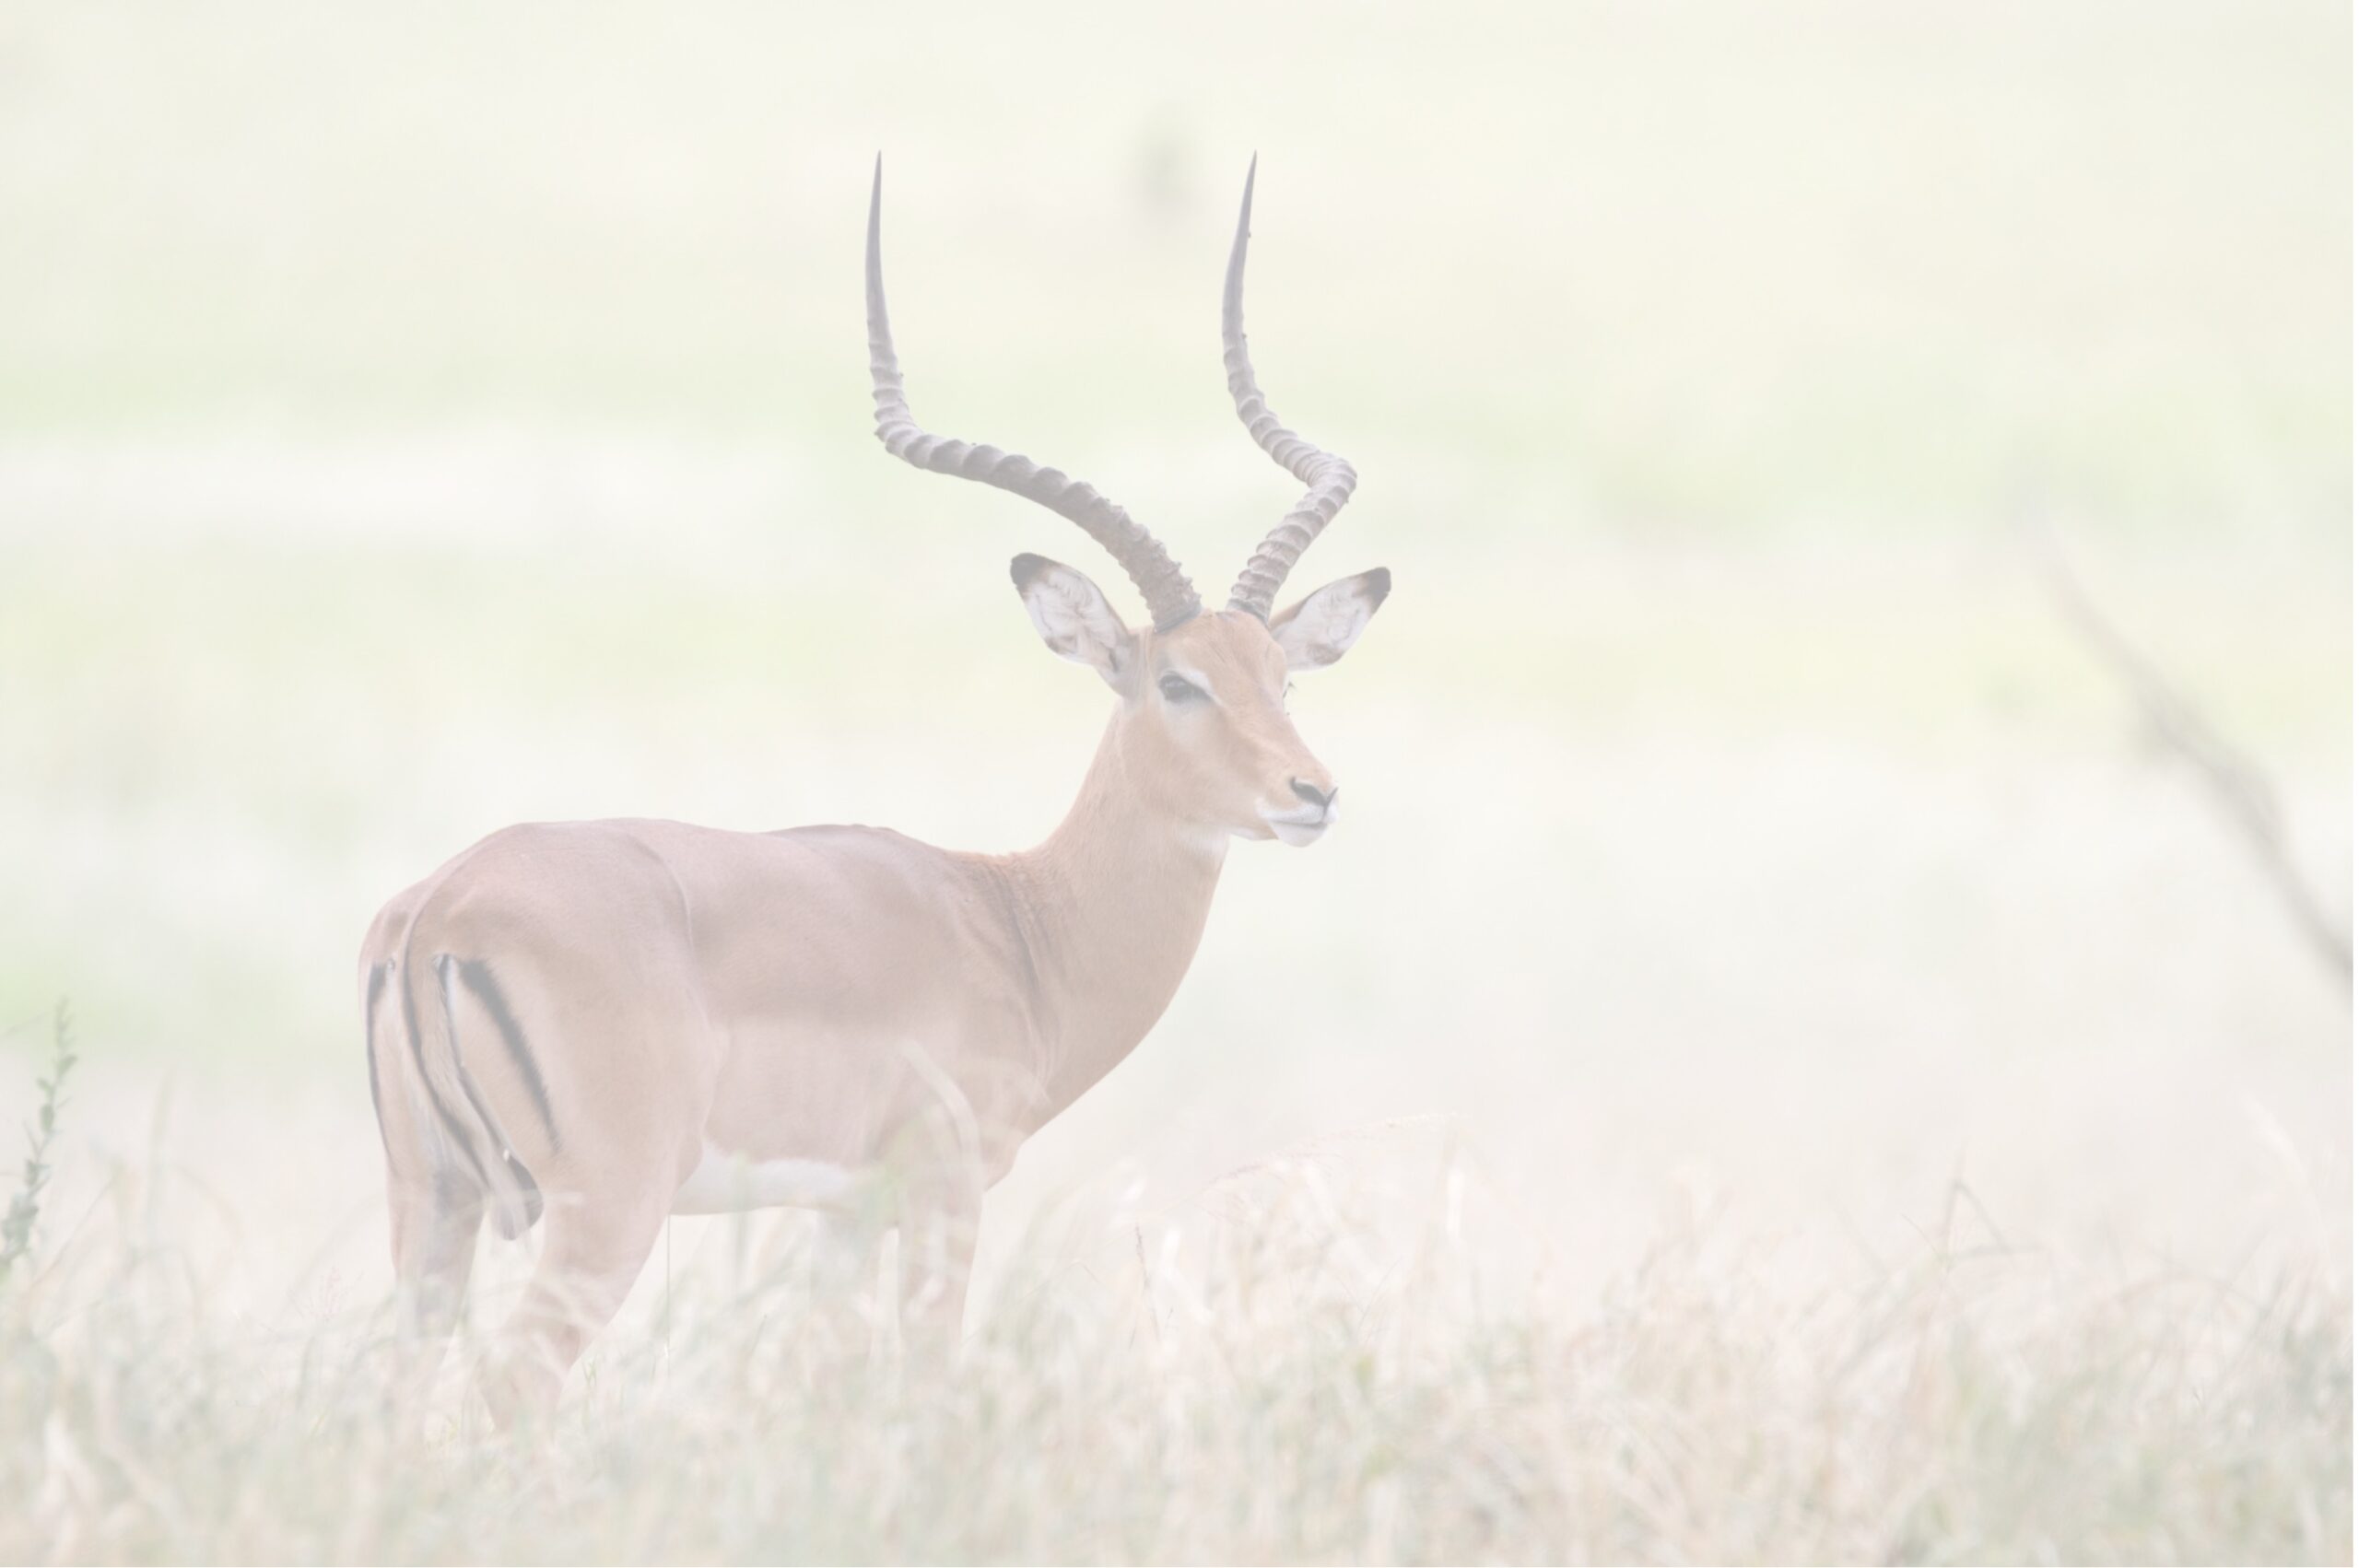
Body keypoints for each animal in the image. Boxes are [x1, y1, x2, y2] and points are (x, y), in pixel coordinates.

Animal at [360, 159, 1390, 1420]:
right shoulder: (943, 1190)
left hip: (432, 1205)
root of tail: (437, 910)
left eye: (1282, 675)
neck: (1020, 924)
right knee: (510, 1389)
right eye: (1178, 681)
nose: (1312, 791)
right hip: (603, 1211)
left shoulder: (842, 1209)